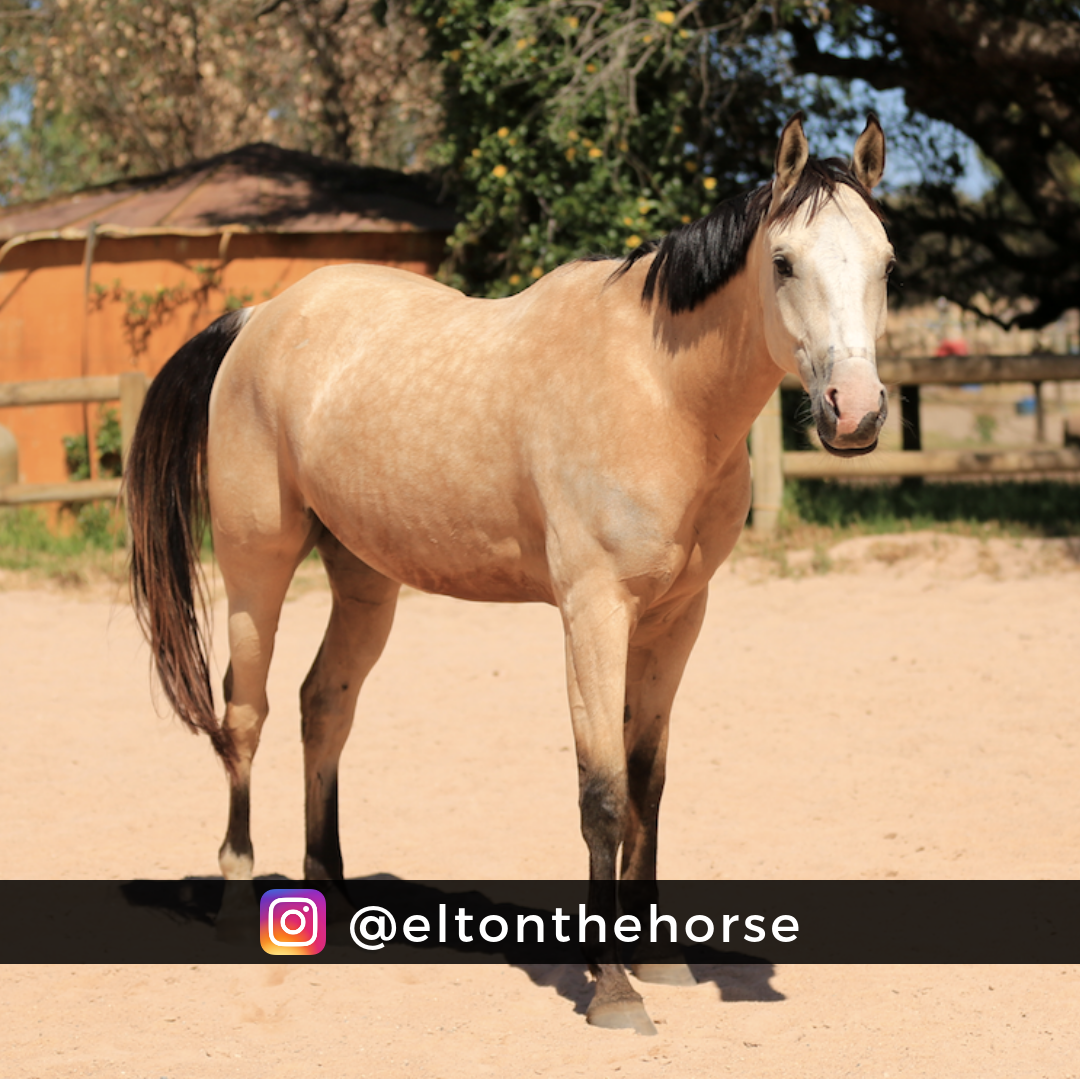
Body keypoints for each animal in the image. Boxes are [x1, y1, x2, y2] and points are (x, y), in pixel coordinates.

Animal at [125, 112, 892, 1034]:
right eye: (783, 261)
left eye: (887, 263)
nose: (856, 411)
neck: (659, 392)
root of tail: (257, 318)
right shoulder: (593, 612)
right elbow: (602, 792)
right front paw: (613, 989)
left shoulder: (678, 617)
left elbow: (648, 783)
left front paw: (658, 960)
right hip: (255, 566)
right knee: (245, 715)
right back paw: (241, 901)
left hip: (366, 580)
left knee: (324, 707)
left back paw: (330, 901)